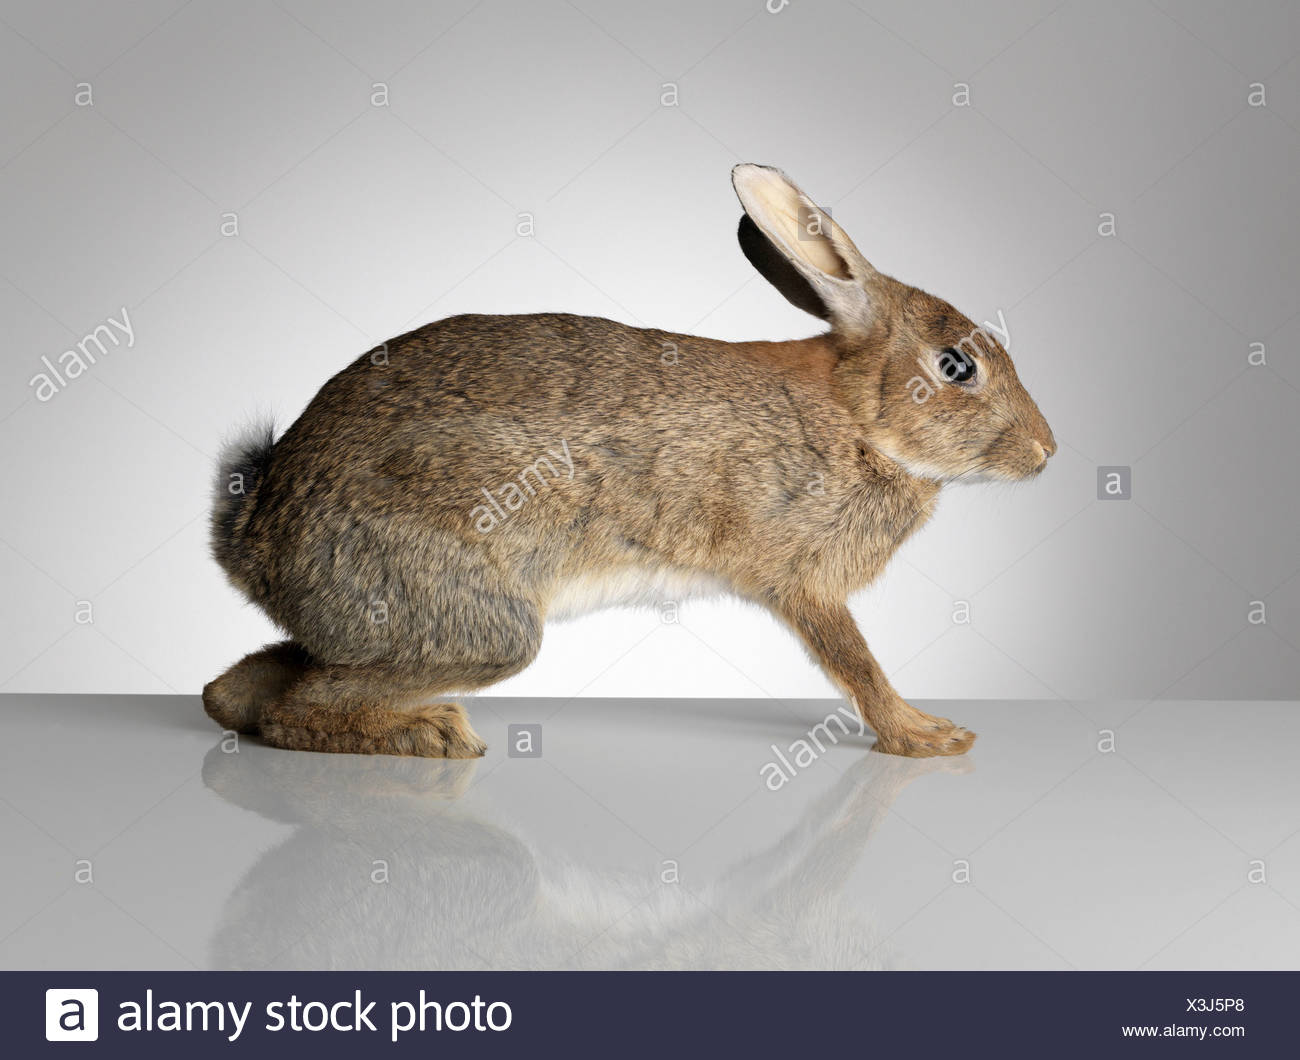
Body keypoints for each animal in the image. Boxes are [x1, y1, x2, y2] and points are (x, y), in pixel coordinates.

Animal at [202, 163, 1055, 759]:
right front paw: (926, 736)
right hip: (483, 623)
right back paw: (433, 734)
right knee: (292, 706)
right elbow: (858, 666)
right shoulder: (803, 579)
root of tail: (255, 537)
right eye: (956, 367)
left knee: (235, 692)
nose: (1048, 451)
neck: (856, 417)